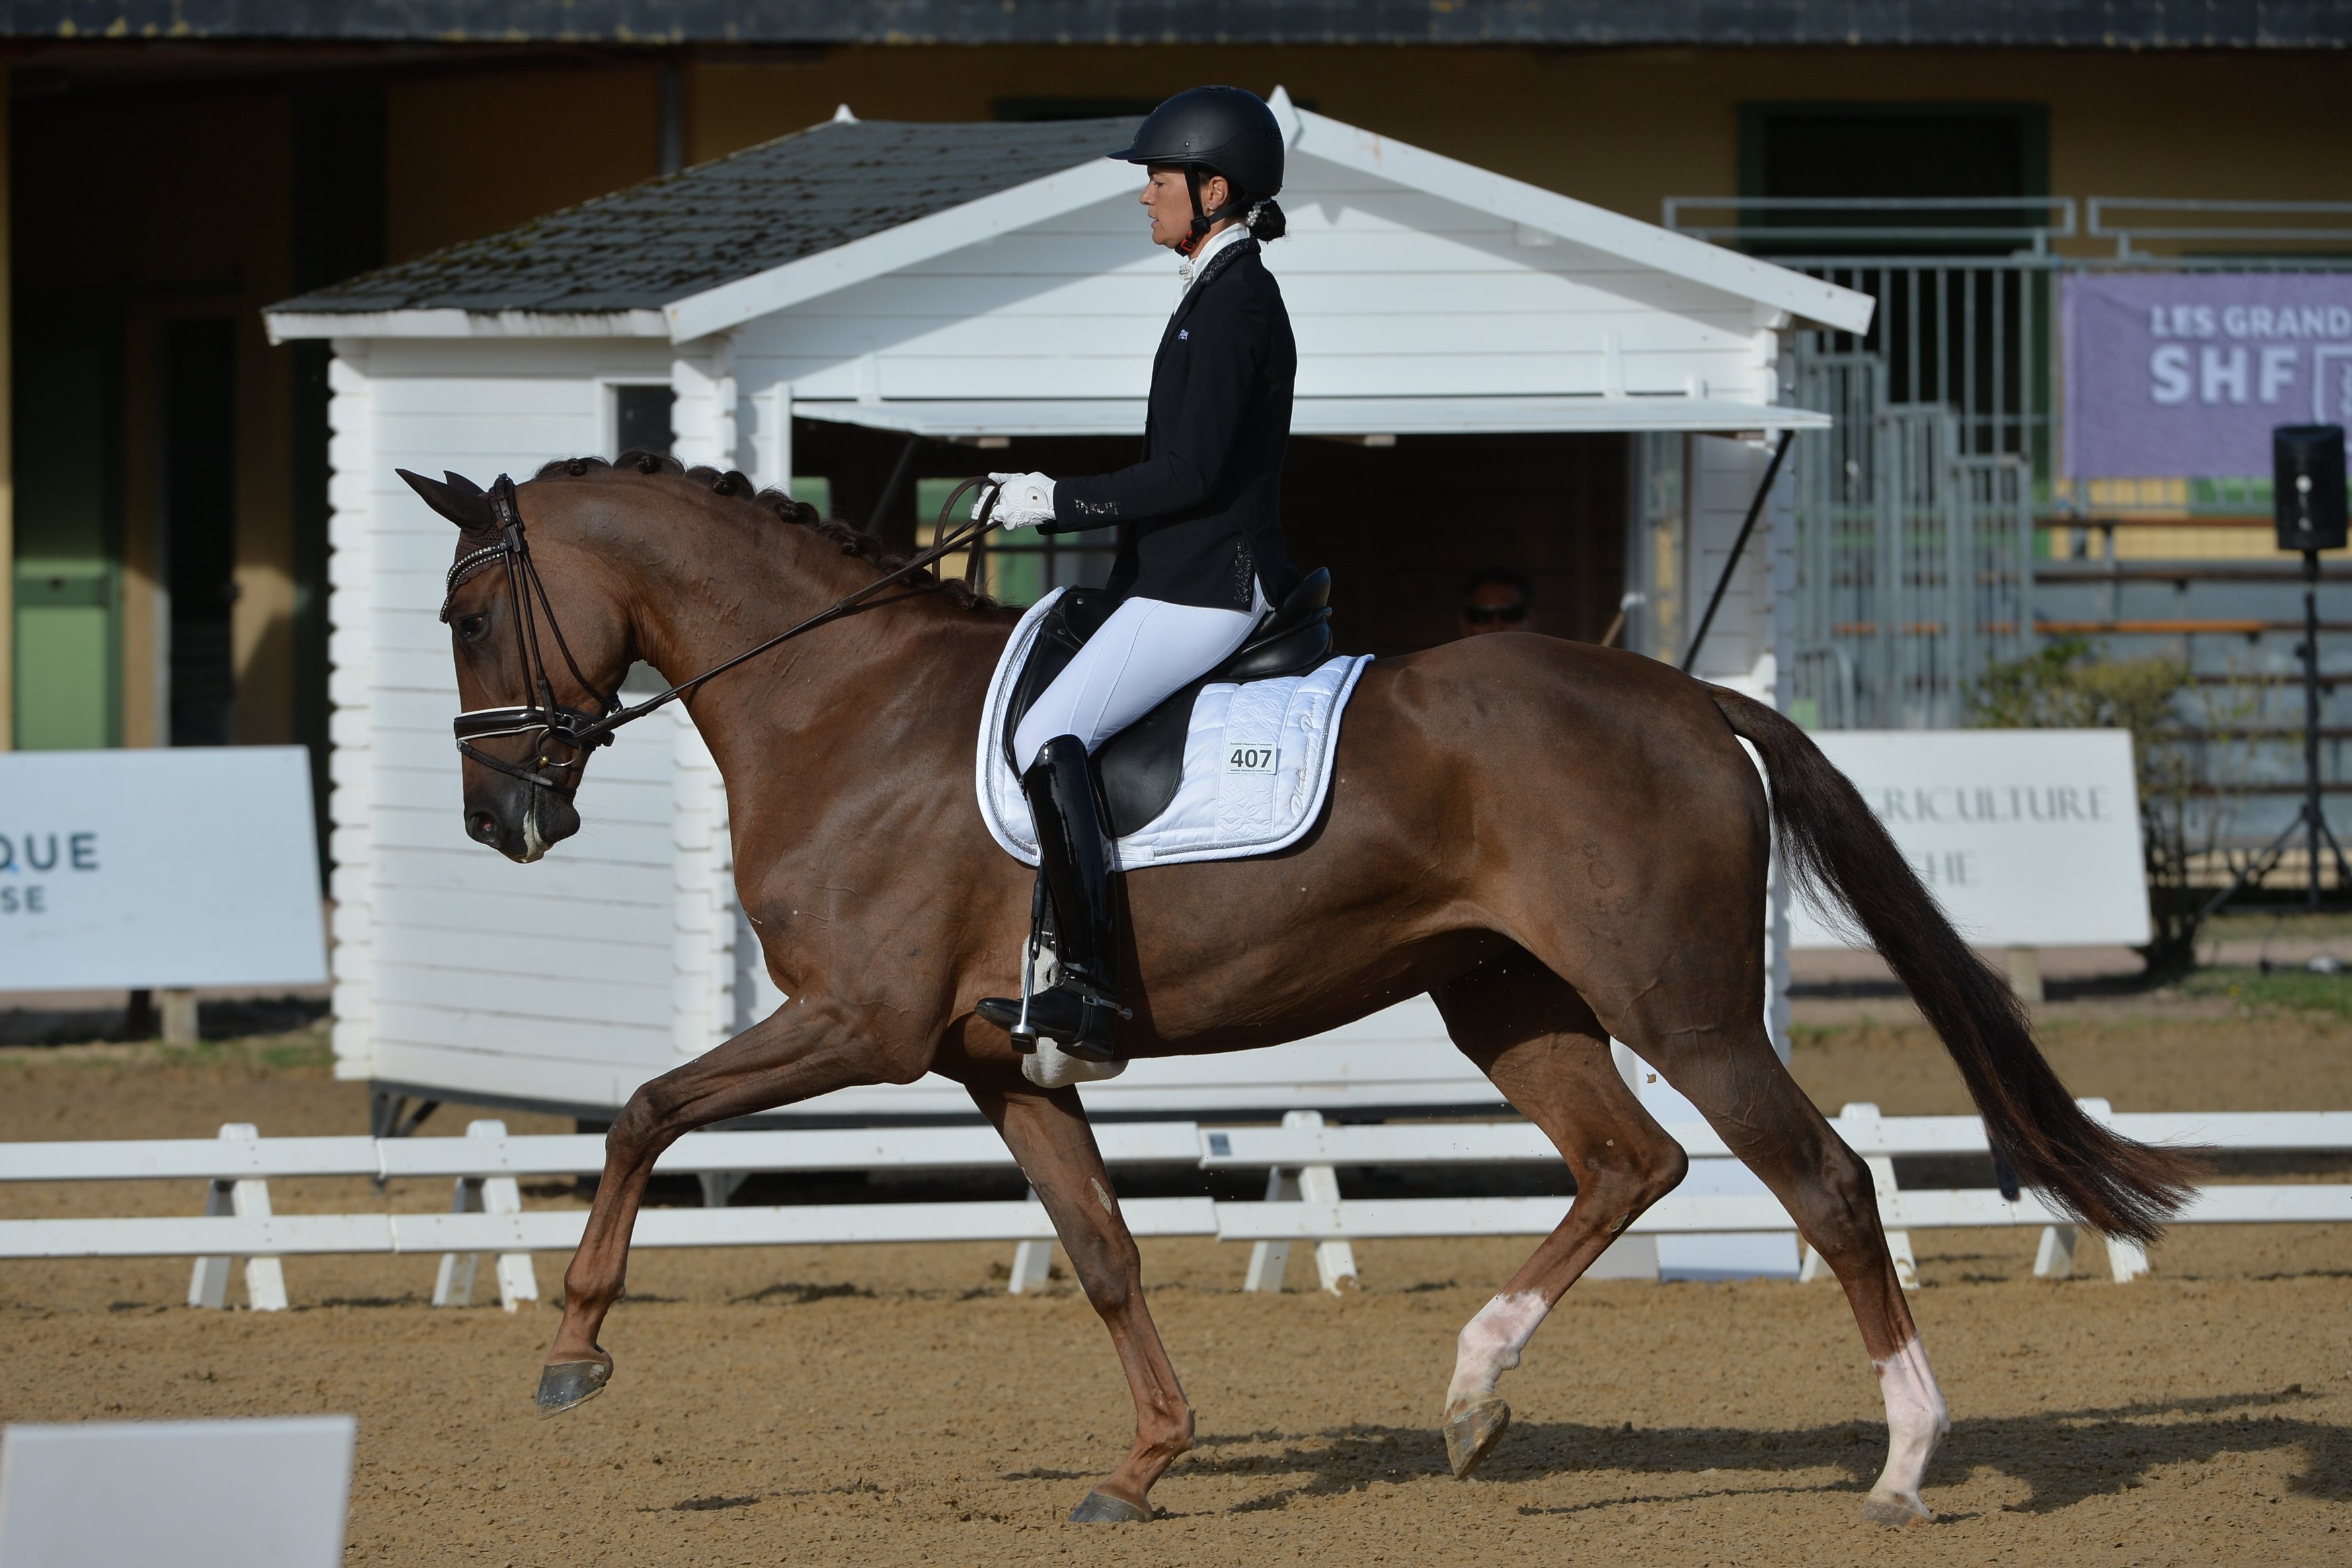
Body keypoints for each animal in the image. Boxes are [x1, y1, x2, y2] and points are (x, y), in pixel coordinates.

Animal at [414, 453, 2199, 1527]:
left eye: (467, 611)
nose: (503, 821)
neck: (840, 706)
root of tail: (1690, 696)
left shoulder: (860, 1022)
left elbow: (642, 1110)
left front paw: (572, 1348)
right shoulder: (988, 1057)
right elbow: (1103, 1249)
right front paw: (1143, 1465)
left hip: (1680, 1003)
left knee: (1820, 1179)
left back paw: (1901, 1462)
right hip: (1507, 999)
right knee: (1630, 1162)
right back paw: (1473, 1396)